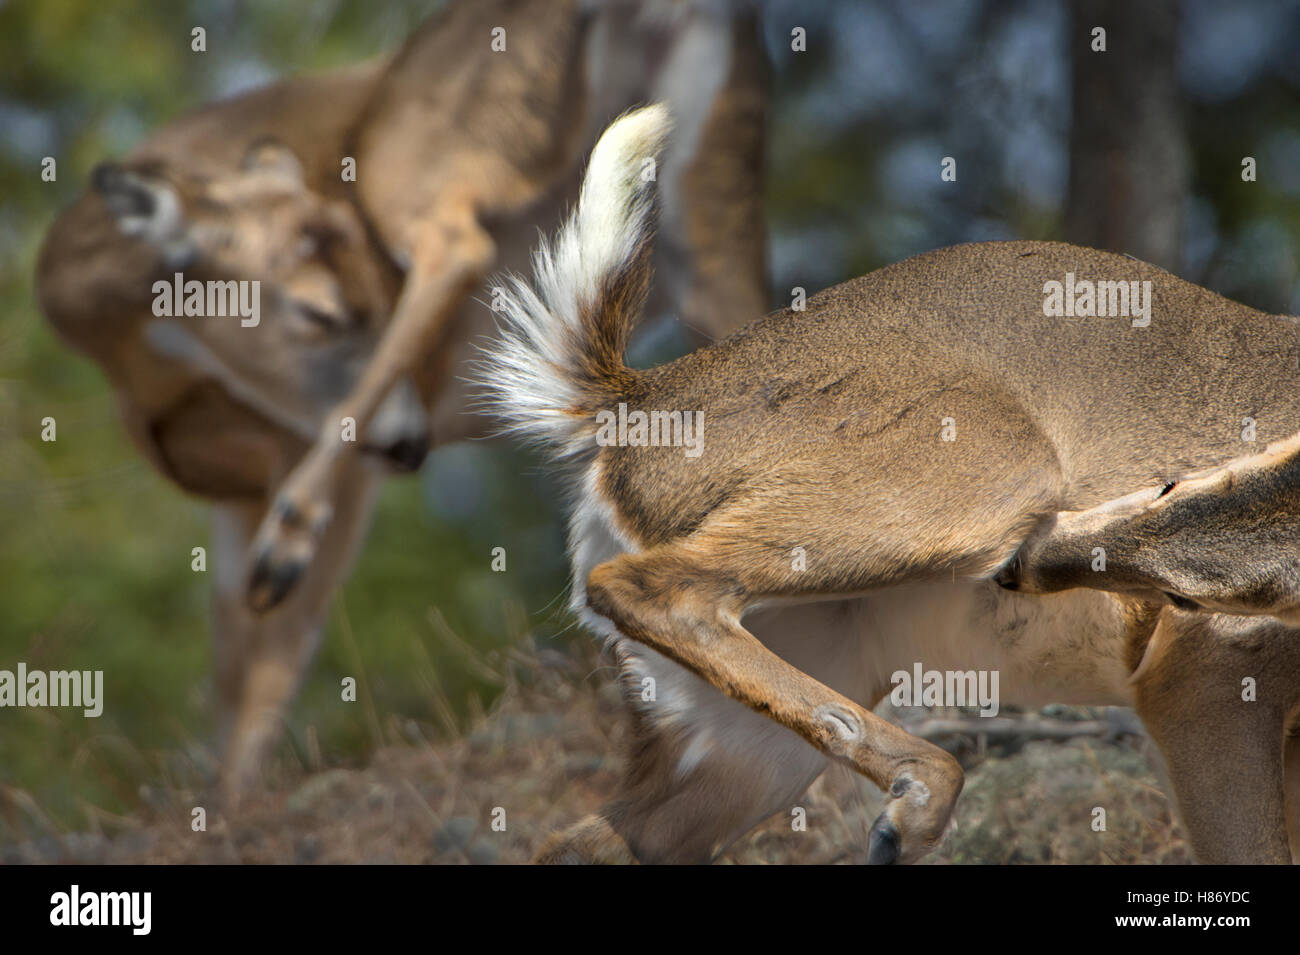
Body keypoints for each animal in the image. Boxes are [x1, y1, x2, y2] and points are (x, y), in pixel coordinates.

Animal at [35, 0, 769, 803]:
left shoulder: (305, 455)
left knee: (455, 241)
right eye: (320, 314)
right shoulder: (232, 497)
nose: (409, 442)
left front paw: (234, 805)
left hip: (433, 153)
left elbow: (273, 652)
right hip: (711, 199)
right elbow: (231, 662)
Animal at [479, 104, 1300, 865]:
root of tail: (633, 401)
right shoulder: (1203, 671)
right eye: (1175, 484)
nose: (1030, 568)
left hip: (759, 710)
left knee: (587, 838)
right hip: (990, 472)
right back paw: (917, 797)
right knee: (647, 586)